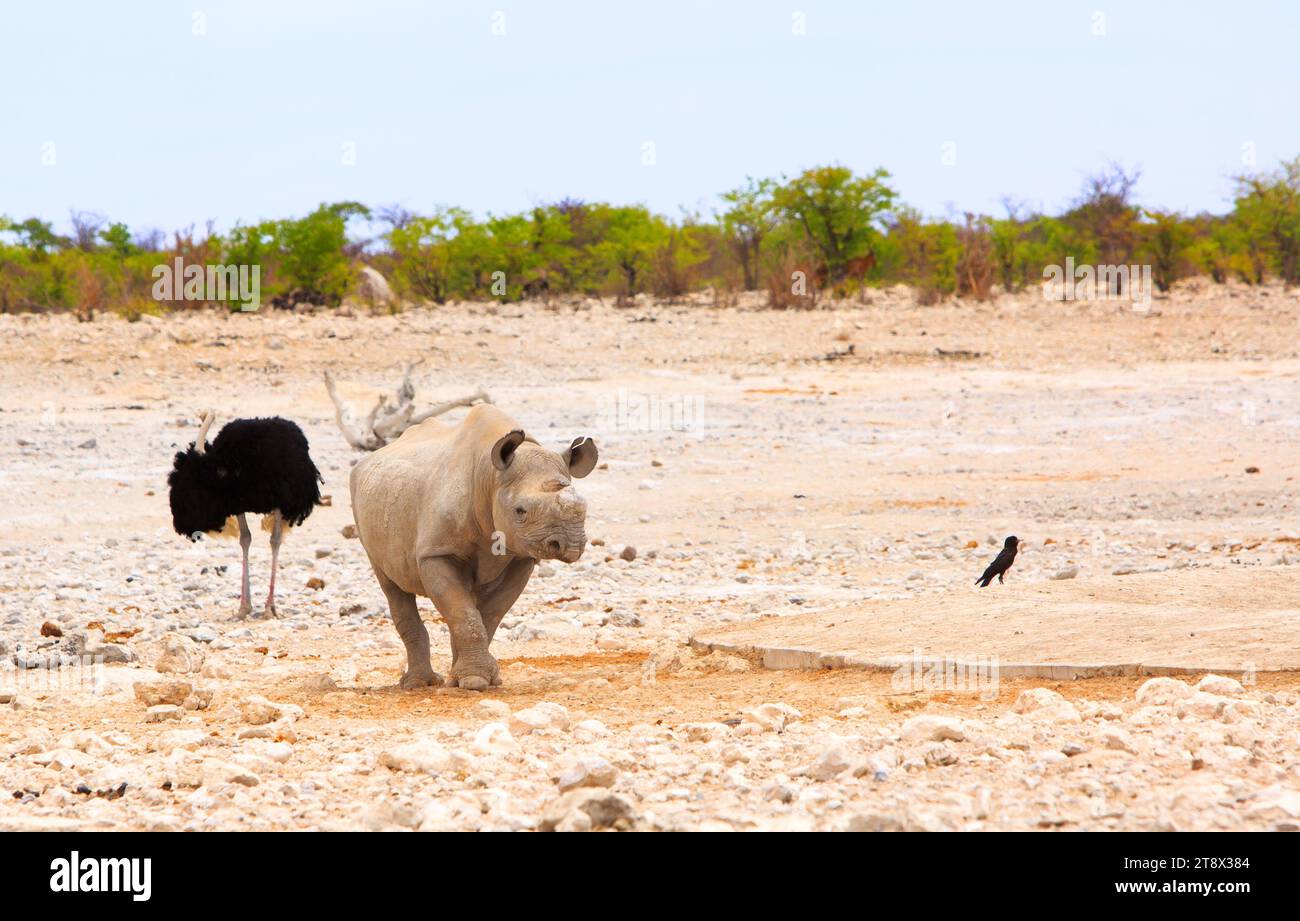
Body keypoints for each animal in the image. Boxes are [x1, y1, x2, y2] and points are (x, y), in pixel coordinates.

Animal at [349, 404, 598, 690]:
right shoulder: (437, 553)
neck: (490, 477)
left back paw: (447, 678)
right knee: (391, 584)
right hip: (364, 507)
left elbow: (488, 615)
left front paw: (478, 679)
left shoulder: (521, 557)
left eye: (585, 506)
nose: (571, 545)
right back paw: (418, 684)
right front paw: (474, 681)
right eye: (520, 511)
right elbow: (464, 613)